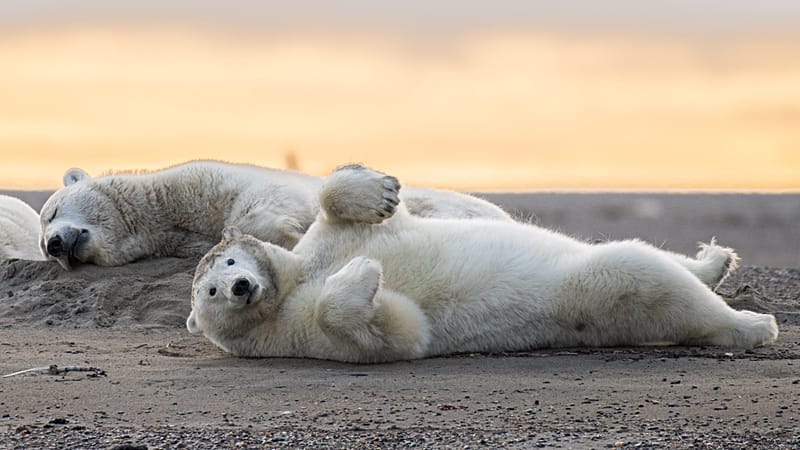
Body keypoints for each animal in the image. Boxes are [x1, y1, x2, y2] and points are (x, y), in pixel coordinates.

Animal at [186, 164, 778, 363]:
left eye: (230, 259)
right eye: (208, 291)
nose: (239, 287)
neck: (289, 283)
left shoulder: (324, 242)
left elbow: (341, 206)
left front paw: (381, 190)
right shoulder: (294, 334)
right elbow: (396, 331)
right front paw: (363, 275)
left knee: (648, 256)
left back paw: (715, 260)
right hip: (598, 297)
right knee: (640, 274)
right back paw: (750, 324)